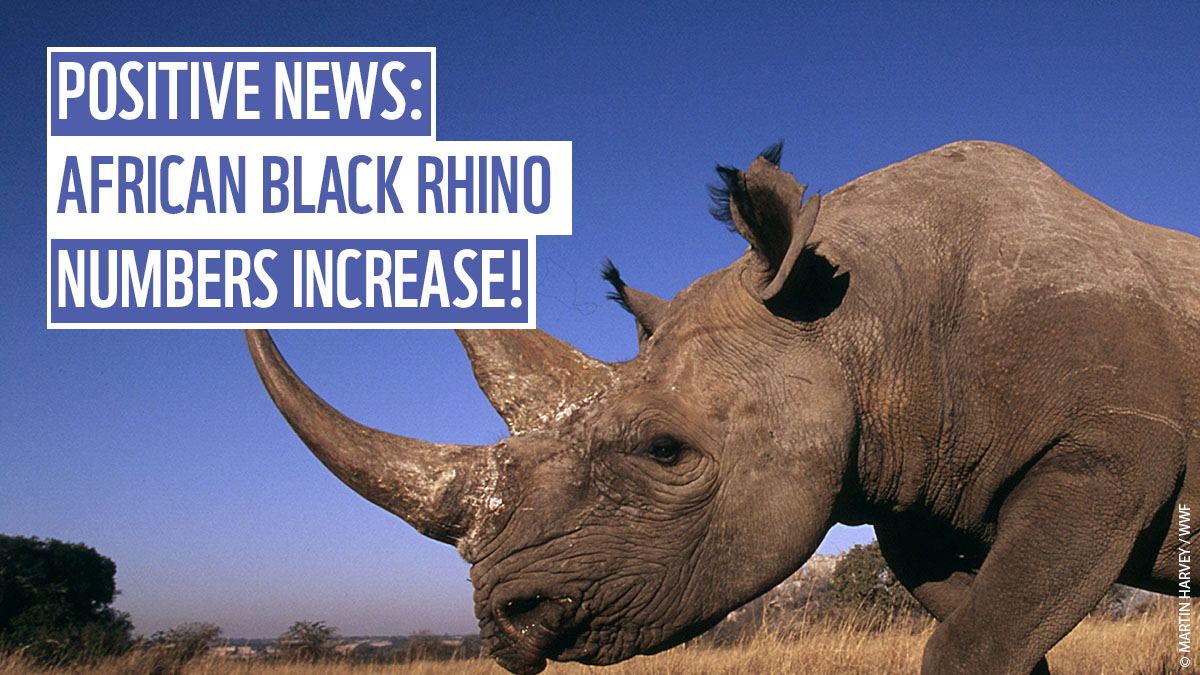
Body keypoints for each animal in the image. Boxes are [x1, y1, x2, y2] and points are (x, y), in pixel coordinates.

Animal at [246, 140, 1199, 674]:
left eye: (666, 452)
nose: (501, 621)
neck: (858, 319)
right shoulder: (920, 494)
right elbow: (989, 628)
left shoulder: (1113, 450)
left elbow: (978, 638)